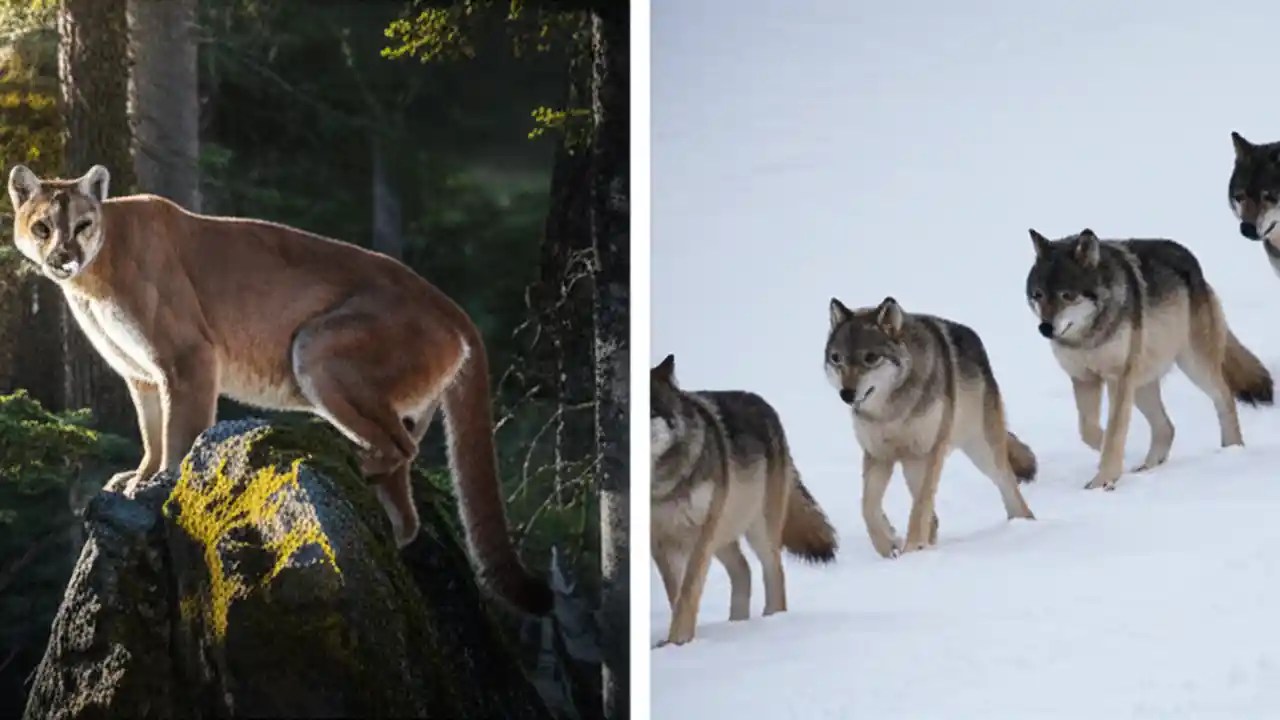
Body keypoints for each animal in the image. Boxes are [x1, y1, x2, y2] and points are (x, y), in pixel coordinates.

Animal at [7, 165, 550, 614]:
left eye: (82, 225)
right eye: (43, 227)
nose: (63, 257)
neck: (94, 276)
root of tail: (448, 303)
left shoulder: (188, 358)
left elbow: (180, 429)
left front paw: (165, 480)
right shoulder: (140, 373)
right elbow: (151, 428)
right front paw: (138, 475)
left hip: (317, 346)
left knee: (401, 446)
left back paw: (350, 461)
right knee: (408, 497)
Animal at [650, 354, 837, 646]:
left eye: (648, 411)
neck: (663, 484)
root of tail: (764, 405)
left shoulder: (701, 535)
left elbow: (688, 591)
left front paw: (679, 642)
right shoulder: (659, 543)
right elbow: (676, 593)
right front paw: (675, 643)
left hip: (756, 531)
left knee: (773, 572)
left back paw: (771, 622)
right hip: (724, 533)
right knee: (743, 570)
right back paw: (736, 624)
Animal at [824, 297, 1036, 558]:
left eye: (871, 358)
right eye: (836, 358)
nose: (846, 394)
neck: (891, 411)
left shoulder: (928, 453)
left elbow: (919, 510)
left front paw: (912, 548)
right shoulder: (878, 455)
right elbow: (868, 508)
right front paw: (889, 545)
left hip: (980, 454)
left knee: (1008, 486)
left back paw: (1024, 525)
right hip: (912, 466)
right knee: (933, 518)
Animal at [1025, 227, 1273, 491]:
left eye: (1067, 296)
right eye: (1038, 295)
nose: (1045, 328)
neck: (1088, 336)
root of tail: (1193, 263)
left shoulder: (1117, 378)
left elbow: (1114, 432)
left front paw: (1104, 479)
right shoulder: (1083, 378)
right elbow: (1088, 430)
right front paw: (1112, 462)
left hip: (1192, 365)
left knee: (1224, 396)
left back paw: (1232, 450)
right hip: (1142, 382)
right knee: (1167, 426)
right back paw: (1149, 466)